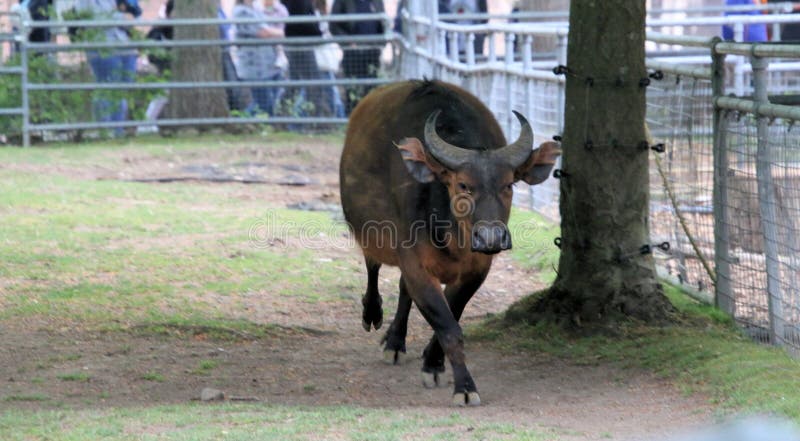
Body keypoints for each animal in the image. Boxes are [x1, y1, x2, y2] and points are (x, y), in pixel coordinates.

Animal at [339, 79, 560, 406]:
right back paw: (374, 316)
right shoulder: (415, 263)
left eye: (508, 184)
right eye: (463, 185)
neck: (451, 235)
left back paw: (395, 340)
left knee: (403, 289)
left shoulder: (476, 270)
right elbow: (447, 326)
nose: (491, 237)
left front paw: (433, 363)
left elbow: (452, 315)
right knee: (372, 264)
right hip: (369, 228)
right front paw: (464, 387)